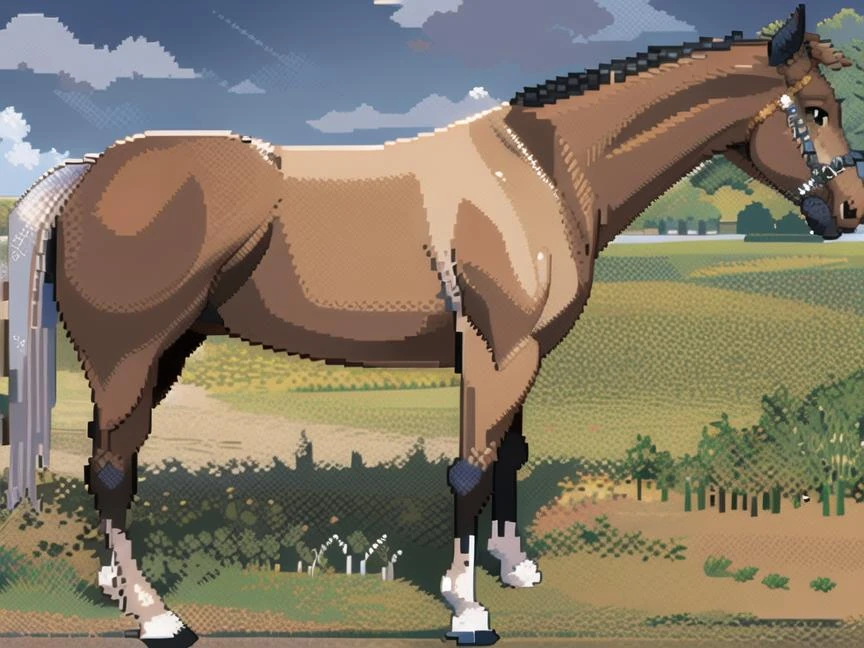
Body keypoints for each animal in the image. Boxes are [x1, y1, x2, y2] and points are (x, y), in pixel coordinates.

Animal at [4, 4, 863, 646]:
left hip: (163, 354)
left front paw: (516, 569)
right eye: (818, 111)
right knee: (111, 470)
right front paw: (466, 605)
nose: (850, 209)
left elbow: (510, 454)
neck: (540, 174)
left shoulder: (524, 354)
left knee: (113, 460)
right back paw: (155, 614)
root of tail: (92, 171)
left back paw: (118, 585)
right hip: (129, 354)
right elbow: (469, 468)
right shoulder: (496, 353)